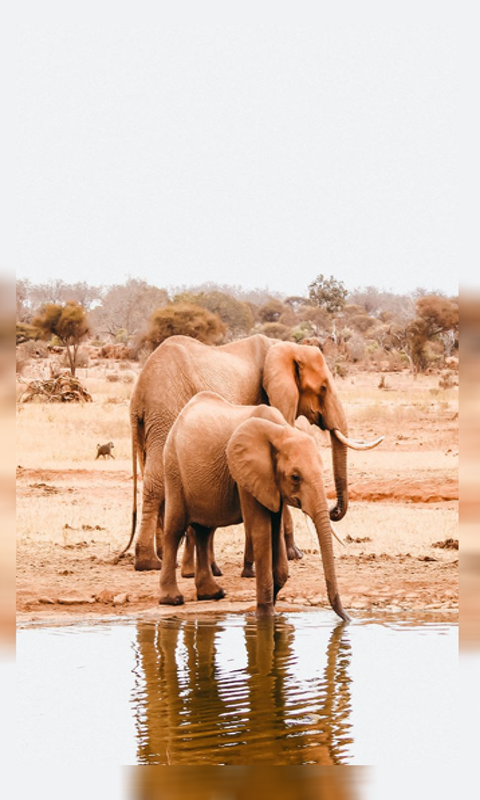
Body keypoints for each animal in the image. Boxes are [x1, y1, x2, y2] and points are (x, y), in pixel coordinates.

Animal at [123, 333, 381, 572]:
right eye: (323, 388)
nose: (333, 510)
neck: (286, 347)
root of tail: (139, 394)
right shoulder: (268, 401)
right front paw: (294, 554)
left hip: (153, 423)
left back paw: (167, 557)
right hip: (166, 412)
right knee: (157, 480)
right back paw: (150, 563)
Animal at [158, 391, 351, 621]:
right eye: (295, 477)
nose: (347, 619)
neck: (280, 431)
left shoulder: (271, 482)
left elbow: (275, 529)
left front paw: (273, 609)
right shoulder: (245, 473)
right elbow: (261, 529)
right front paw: (265, 616)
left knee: (204, 531)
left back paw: (212, 594)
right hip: (173, 468)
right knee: (175, 528)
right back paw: (172, 599)